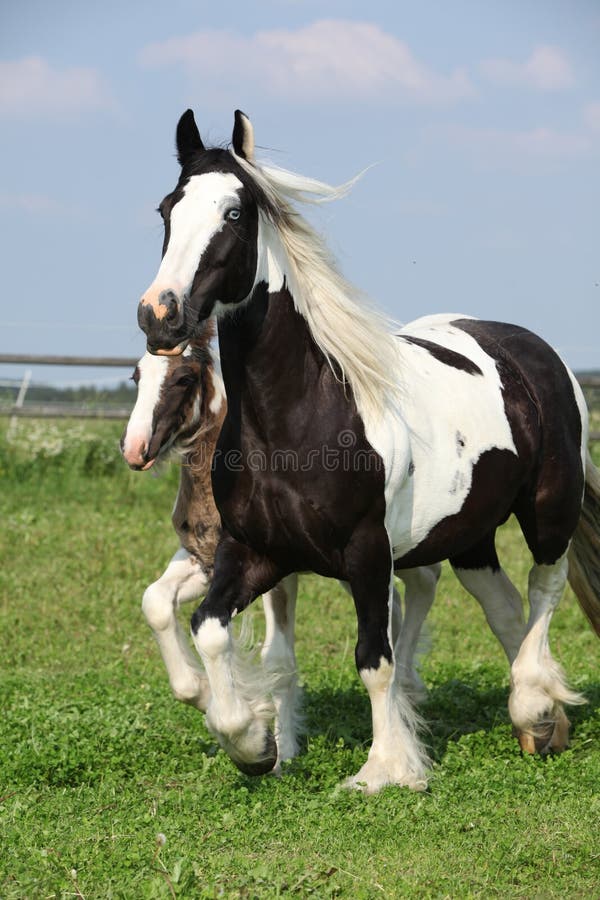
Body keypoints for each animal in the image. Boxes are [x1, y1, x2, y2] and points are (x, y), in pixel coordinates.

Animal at [135, 108, 600, 793]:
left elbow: (373, 659)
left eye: (235, 213)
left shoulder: (366, 553)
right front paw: (254, 743)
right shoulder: (254, 552)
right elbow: (213, 632)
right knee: (504, 607)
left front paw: (385, 769)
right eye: (168, 208)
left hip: (548, 509)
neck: (298, 418)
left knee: (545, 587)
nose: (159, 316)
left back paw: (534, 707)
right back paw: (539, 724)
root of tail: (534, 351)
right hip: (468, 535)